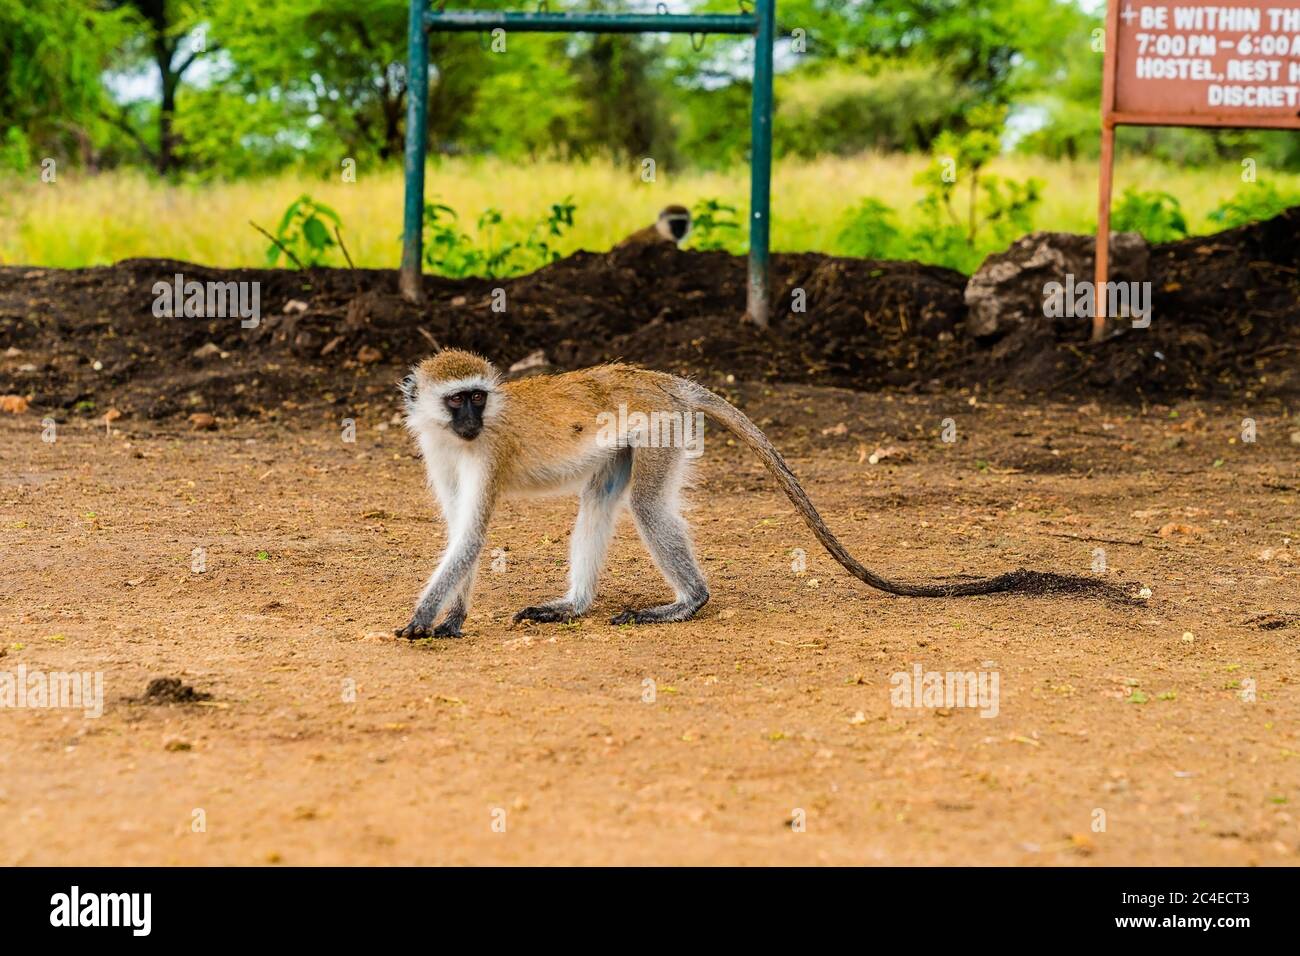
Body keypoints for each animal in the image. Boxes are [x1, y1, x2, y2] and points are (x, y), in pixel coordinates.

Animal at [395, 349, 1118, 639]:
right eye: (456, 401)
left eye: (478, 398)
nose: (471, 421)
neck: (464, 437)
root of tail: (656, 377)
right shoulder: (443, 451)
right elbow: (462, 535)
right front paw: (451, 620)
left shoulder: (489, 452)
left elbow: (472, 537)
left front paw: (422, 620)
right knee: (603, 498)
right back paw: (575, 606)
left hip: (660, 430)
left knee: (647, 507)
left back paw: (688, 603)